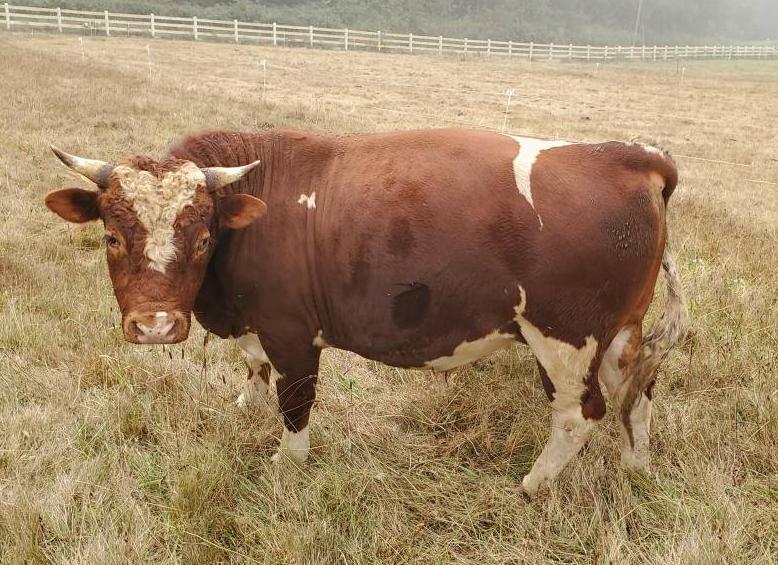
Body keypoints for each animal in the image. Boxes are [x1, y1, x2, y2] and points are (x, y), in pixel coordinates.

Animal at [44, 128, 687, 496]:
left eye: (203, 238)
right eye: (111, 237)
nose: (155, 325)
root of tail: (634, 156)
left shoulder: (292, 333)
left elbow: (295, 403)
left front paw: (287, 463)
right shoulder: (258, 333)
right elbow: (254, 372)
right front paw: (245, 406)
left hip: (564, 338)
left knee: (581, 413)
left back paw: (533, 484)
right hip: (620, 333)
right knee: (636, 395)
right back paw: (635, 466)